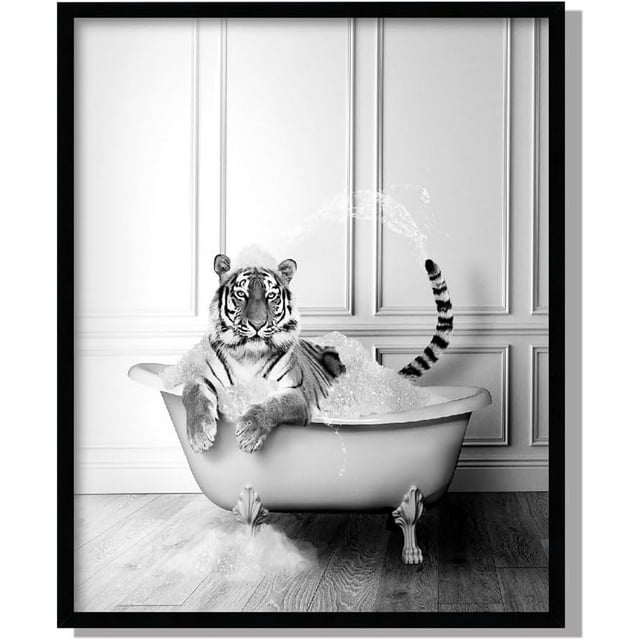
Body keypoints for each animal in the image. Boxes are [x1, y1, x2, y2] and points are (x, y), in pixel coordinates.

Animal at [183, 254, 452, 454]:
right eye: (242, 294)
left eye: (271, 296)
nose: (258, 324)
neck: (248, 355)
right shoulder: (202, 378)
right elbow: (192, 394)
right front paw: (199, 436)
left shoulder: (295, 394)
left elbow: (272, 405)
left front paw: (249, 433)